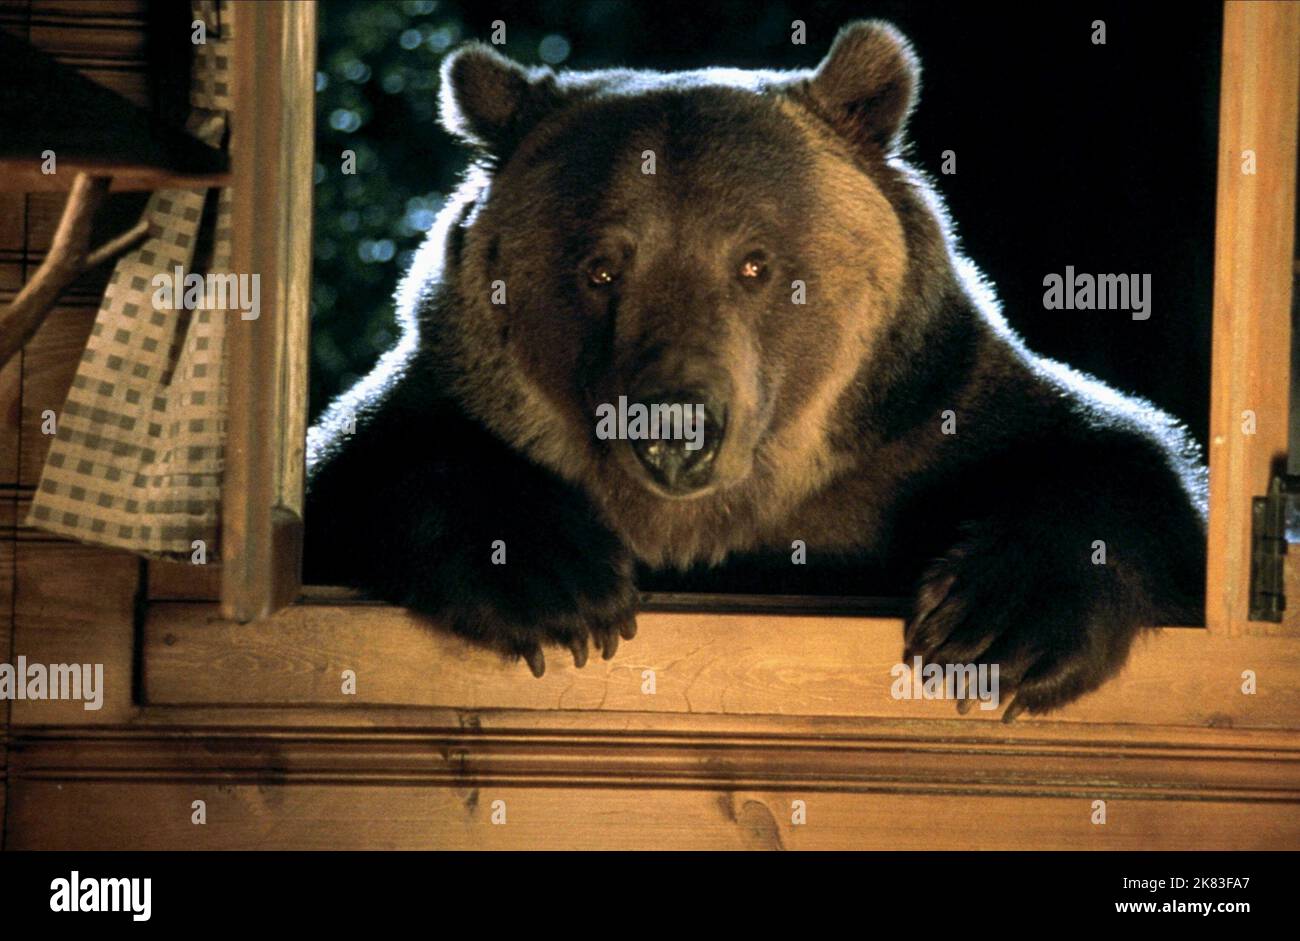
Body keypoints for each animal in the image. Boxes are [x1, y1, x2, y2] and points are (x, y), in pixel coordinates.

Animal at [303, 21, 1207, 720]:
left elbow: (1117, 466)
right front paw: (556, 584)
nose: (674, 429)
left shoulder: (921, 427)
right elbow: (384, 468)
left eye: (754, 262)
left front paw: (995, 626)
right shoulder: (440, 401)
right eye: (600, 268)